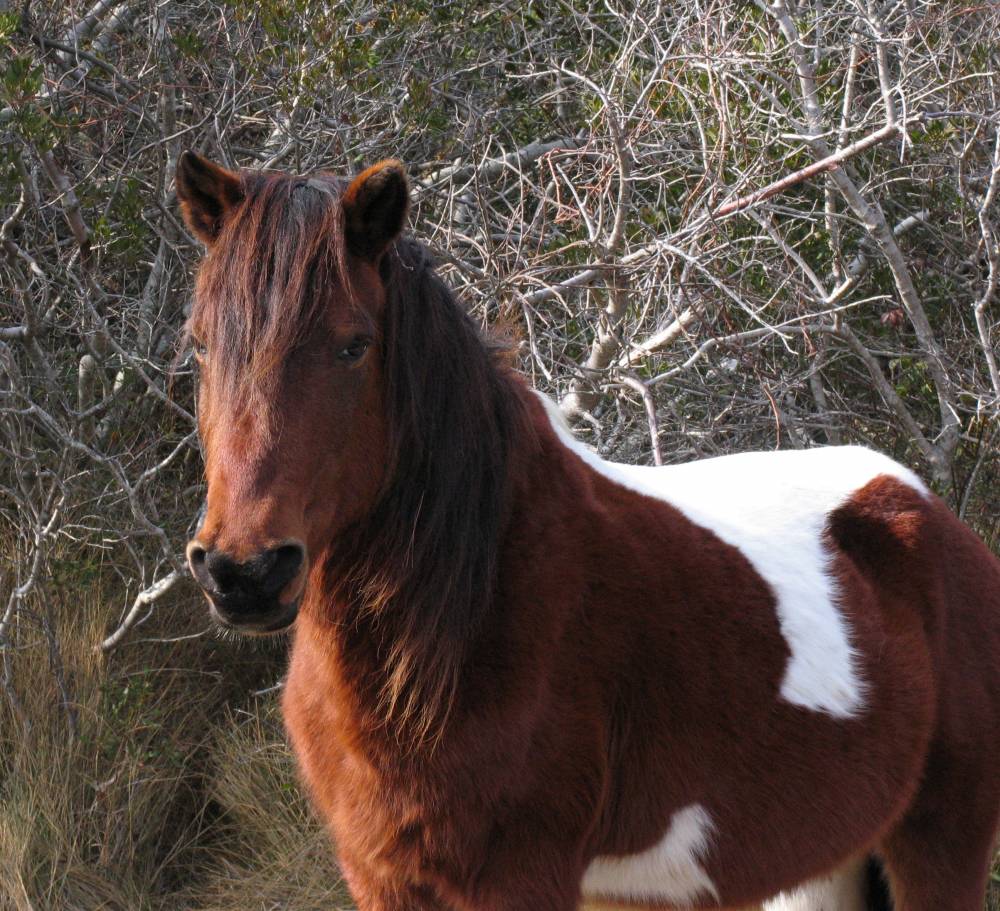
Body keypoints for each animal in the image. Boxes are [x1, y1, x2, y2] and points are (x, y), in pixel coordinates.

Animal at [176, 150, 1000, 911]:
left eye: (353, 344)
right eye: (200, 344)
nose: (245, 572)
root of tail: (921, 509)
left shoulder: (518, 877)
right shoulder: (381, 877)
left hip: (935, 847)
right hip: (817, 869)